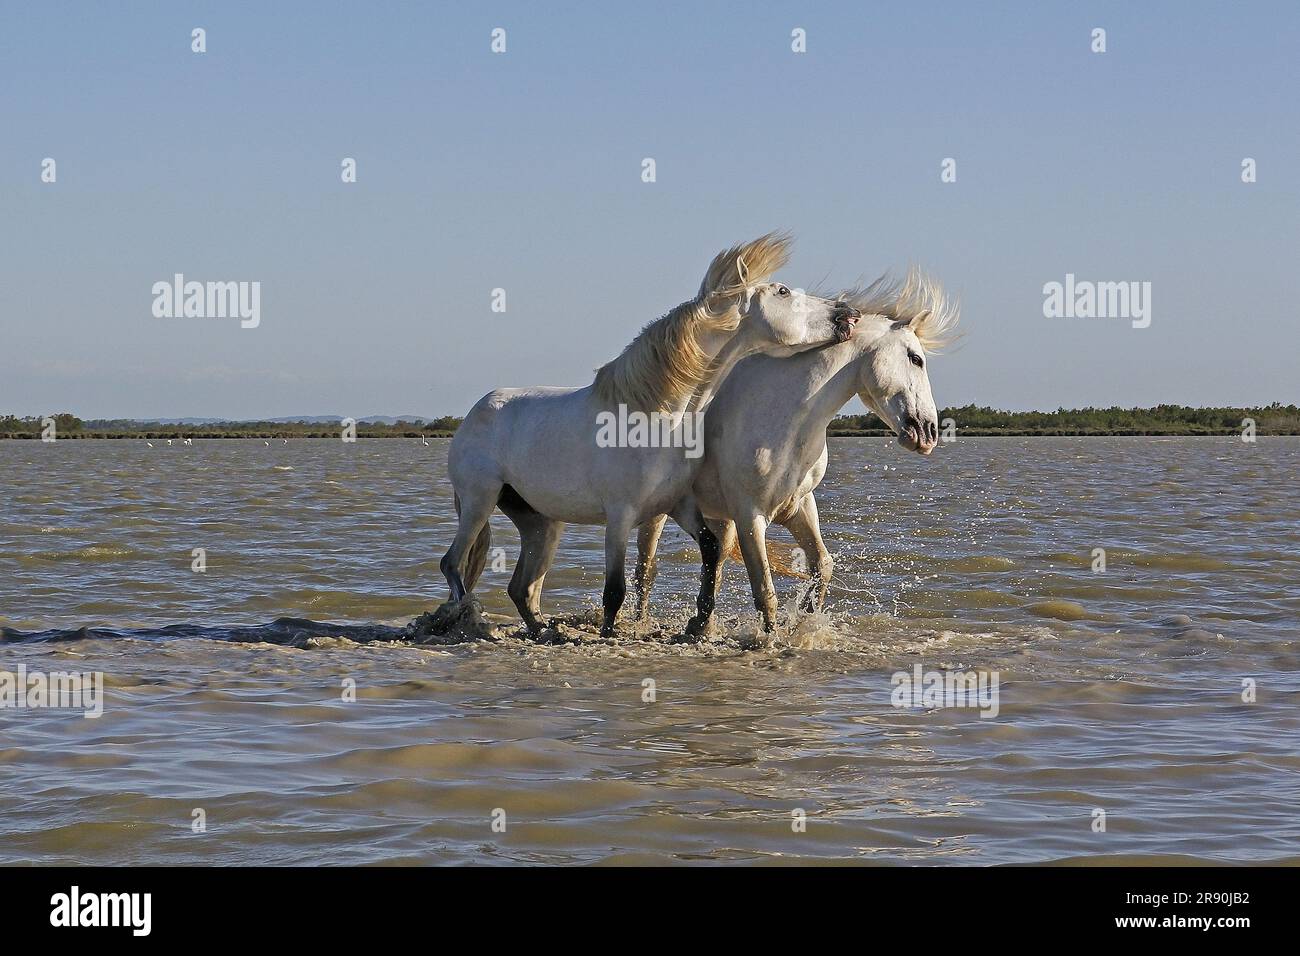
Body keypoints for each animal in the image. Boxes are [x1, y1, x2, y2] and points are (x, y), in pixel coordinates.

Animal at [437, 234, 861, 637]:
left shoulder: (677, 505)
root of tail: (477, 412)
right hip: (479, 500)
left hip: (540, 522)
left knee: (522, 588)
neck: (656, 418)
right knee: (453, 563)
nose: (849, 315)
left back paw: (543, 632)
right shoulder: (620, 516)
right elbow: (615, 589)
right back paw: (466, 617)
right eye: (783, 291)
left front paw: (698, 623)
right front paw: (610, 635)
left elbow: (710, 551)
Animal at [633, 268, 959, 634]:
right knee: (647, 567)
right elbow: (765, 589)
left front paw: (804, 619)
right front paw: (769, 638)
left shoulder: (799, 506)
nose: (928, 432)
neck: (788, 416)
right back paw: (641, 623)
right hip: (663, 510)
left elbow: (822, 565)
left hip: (718, 517)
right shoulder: (750, 515)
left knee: (714, 559)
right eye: (916, 359)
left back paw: (701, 626)